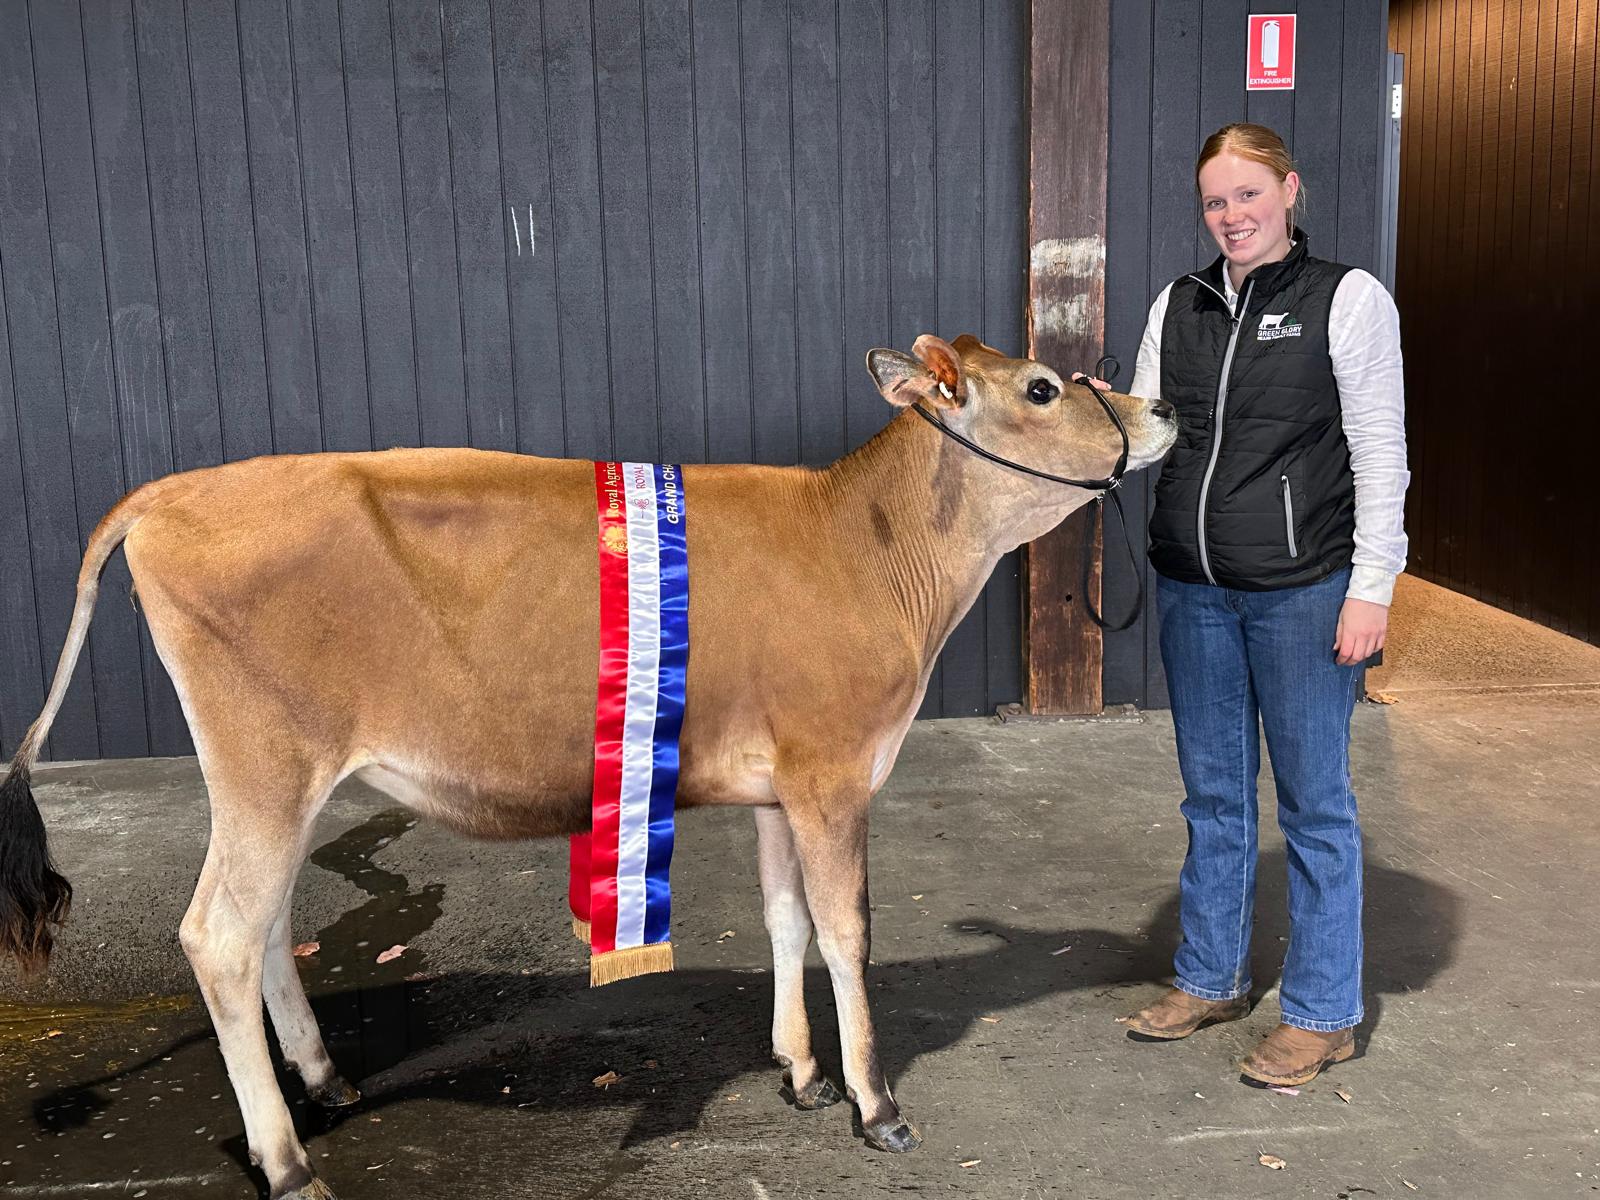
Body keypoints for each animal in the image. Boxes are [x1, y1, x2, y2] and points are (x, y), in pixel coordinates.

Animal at [0, 334, 1176, 1199]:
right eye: (1040, 386)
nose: (1162, 411)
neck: (868, 546)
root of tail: (166, 495)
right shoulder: (835, 767)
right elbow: (848, 932)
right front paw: (875, 1104)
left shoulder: (777, 783)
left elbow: (786, 920)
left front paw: (798, 1070)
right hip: (264, 764)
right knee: (218, 935)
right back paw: (287, 1163)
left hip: (286, 780)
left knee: (266, 928)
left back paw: (325, 1084)